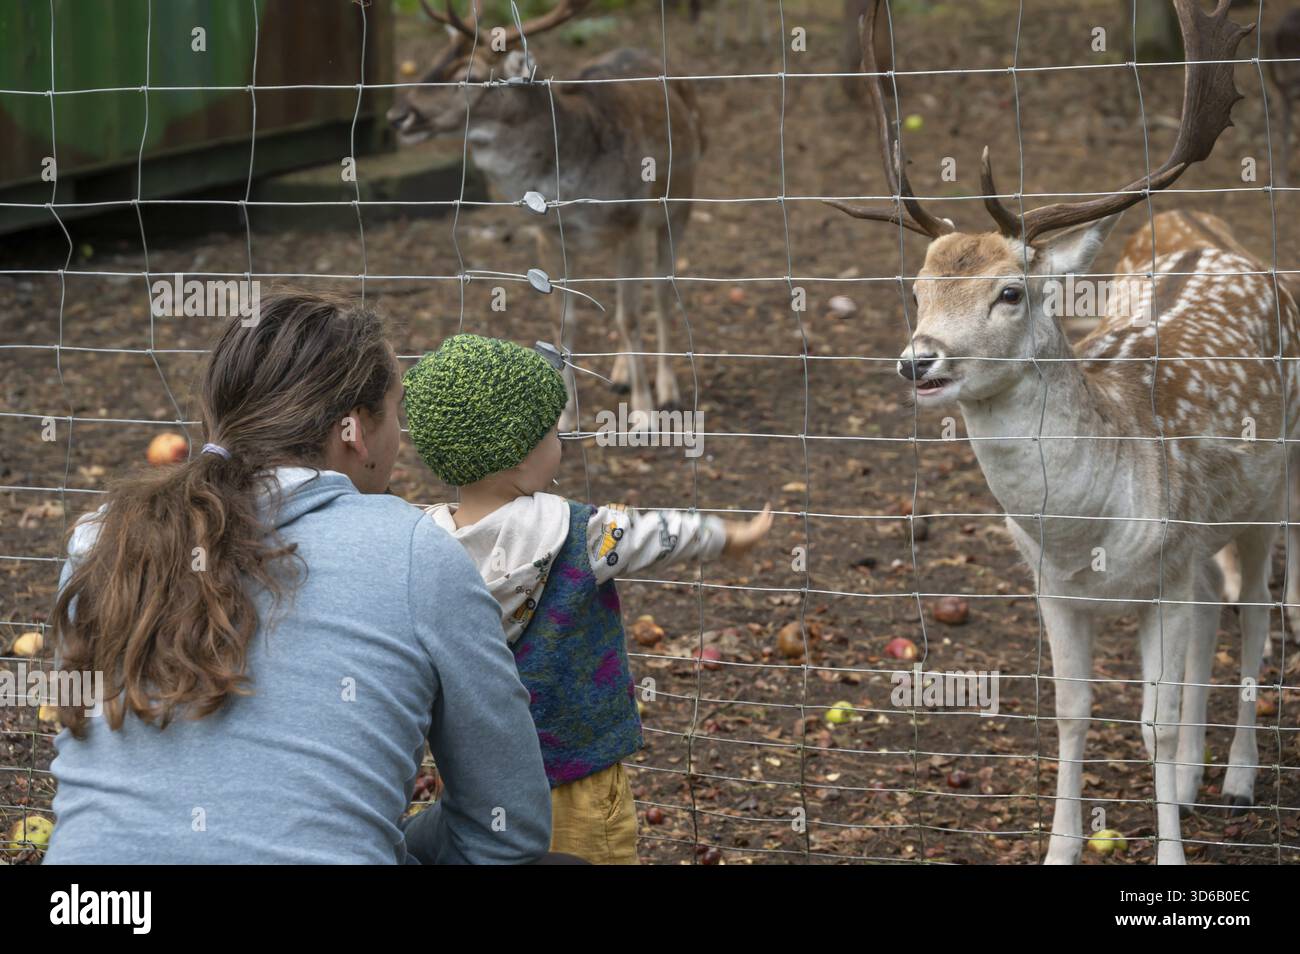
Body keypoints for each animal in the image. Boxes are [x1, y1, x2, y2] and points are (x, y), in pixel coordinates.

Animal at [388, 0, 707, 432]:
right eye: (433, 60)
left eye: (470, 77)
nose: (397, 115)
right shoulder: (549, 233)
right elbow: (564, 320)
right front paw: (567, 416)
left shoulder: (628, 224)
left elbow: (630, 317)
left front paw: (644, 413)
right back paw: (620, 375)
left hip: (677, 205)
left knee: (661, 292)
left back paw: (667, 389)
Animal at [830, 0, 1295, 864]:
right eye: (916, 290)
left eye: (1010, 292)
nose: (918, 361)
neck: (1088, 530)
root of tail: (1238, 259)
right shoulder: (1052, 586)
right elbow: (1073, 713)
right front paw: (1060, 847)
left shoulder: (1162, 578)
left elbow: (1151, 723)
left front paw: (1171, 853)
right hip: (1201, 539)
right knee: (1214, 609)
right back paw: (1193, 779)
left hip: (1269, 496)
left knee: (1252, 611)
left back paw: (1239, 777)